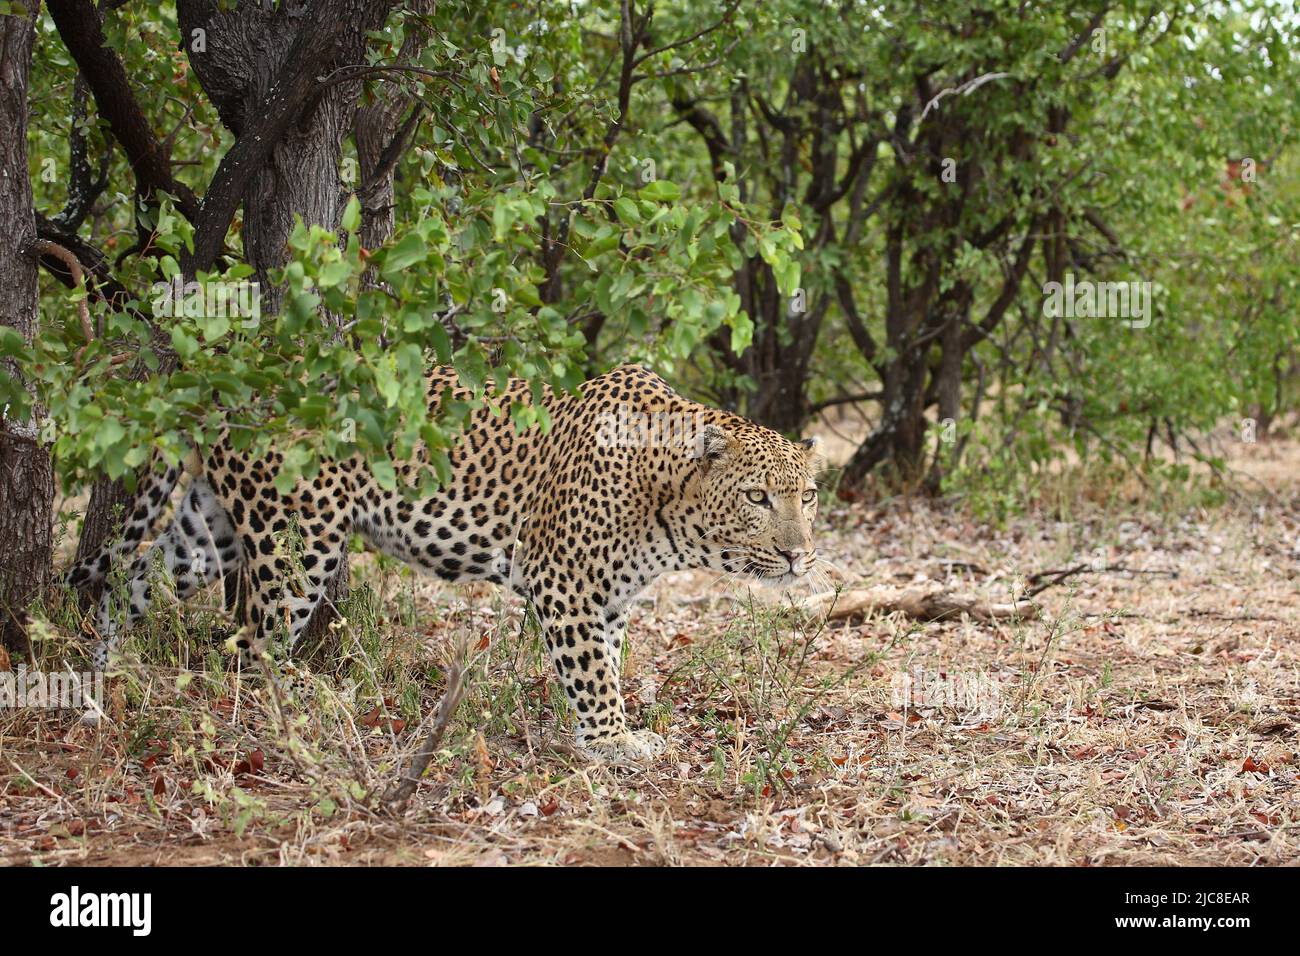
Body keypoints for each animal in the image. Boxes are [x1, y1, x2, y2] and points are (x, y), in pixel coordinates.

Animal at [67, 364, 826, 763]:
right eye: (757, 498)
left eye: (809, 495)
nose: (800, 556)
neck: (665, 501)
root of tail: (232, 379)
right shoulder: (563, 583)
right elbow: (591, 675)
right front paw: (615, 746)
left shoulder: (605, 598)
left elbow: (602, 666)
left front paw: (595, 741)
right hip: (299, 539)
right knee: (255, 640)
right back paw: (292, 717)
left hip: (211, 529)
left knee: (133, 579)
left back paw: (105, 679)